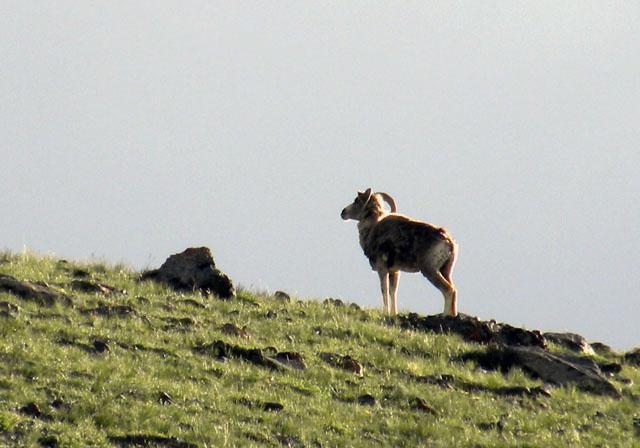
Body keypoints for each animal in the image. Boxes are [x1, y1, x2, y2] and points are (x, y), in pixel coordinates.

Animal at [342, 187, 458, 316]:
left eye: (356, 200)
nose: (343, 212)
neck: (372, 229)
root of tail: (449, 242)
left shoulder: (382, 270)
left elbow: (385, 290)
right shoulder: (395, 271)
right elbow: (393, 291)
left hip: (430, 271)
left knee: (448, 290)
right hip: (445, 271)